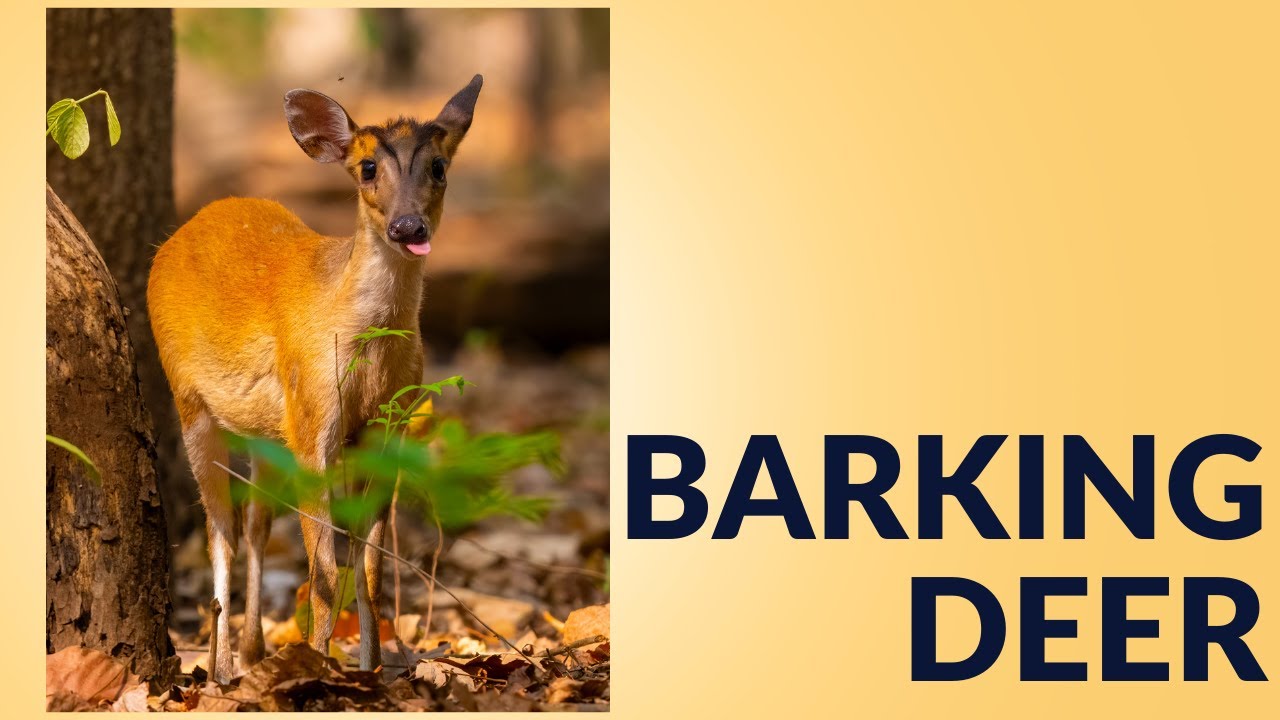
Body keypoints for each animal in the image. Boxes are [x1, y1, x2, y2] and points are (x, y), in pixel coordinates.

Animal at [147, 75, 483, 683]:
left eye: (439, 166)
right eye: (367, 167)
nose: (408, 226)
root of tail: (178, 233)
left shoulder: (385, 425)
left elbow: (367, 567)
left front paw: (372, 671)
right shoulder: (315, 415)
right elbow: (324, 573)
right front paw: (321, 671)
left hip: (268, 427)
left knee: (255, 523)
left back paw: (253, 652)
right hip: (191, 400)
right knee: (220, 531)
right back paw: (221, 668)